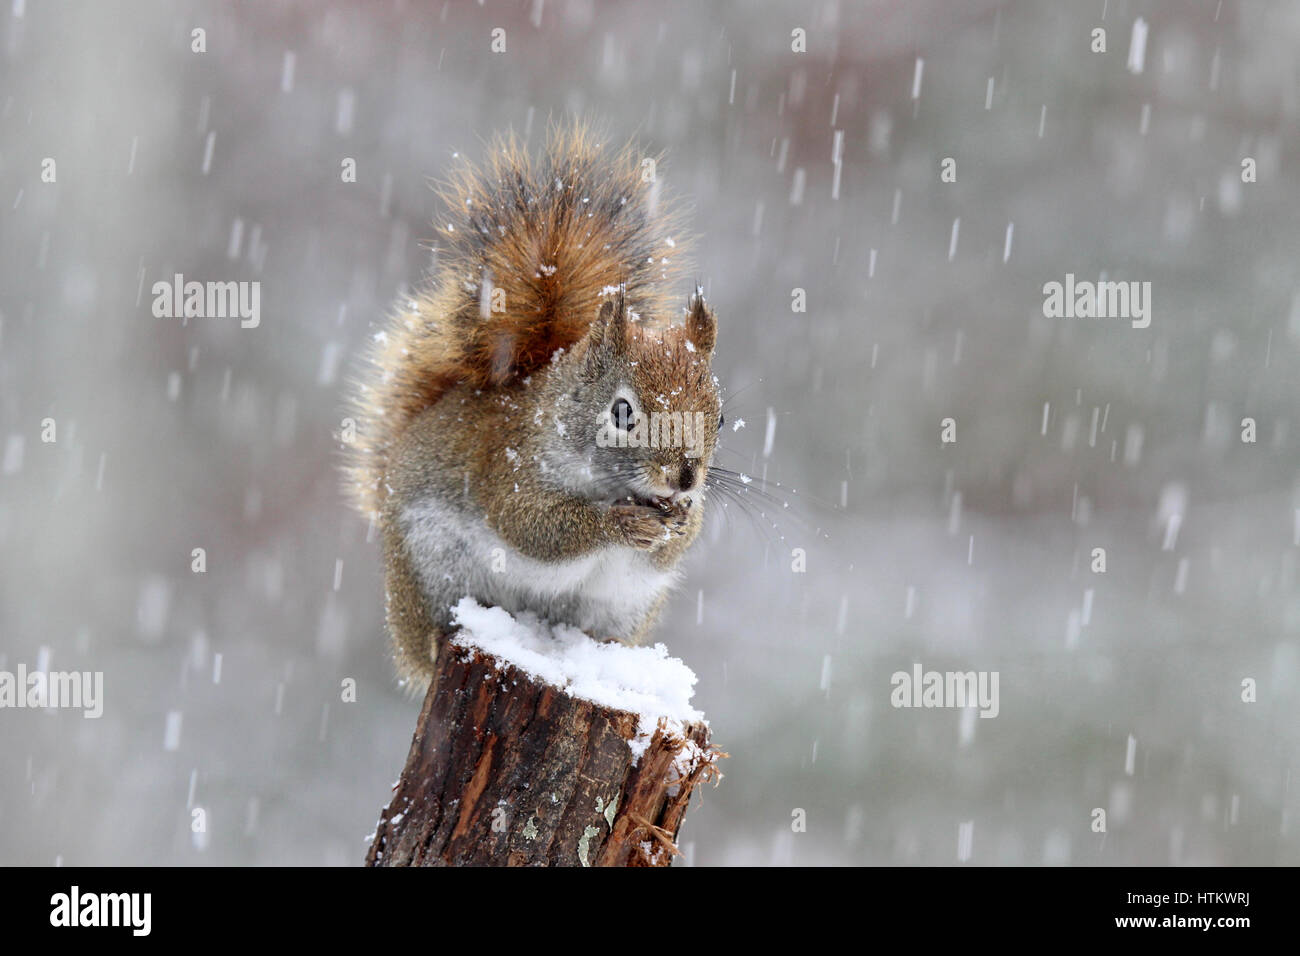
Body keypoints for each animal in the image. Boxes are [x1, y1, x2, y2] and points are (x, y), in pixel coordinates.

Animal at [345, 121, 723, 693]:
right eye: (622, 413)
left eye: (719, 416)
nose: (684, 478)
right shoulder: (511, 468)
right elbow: (534, 526)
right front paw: (621, 524)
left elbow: (678, 543)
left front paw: (677, 520)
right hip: (429, 570)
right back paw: (438, 639)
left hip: (625, 607)